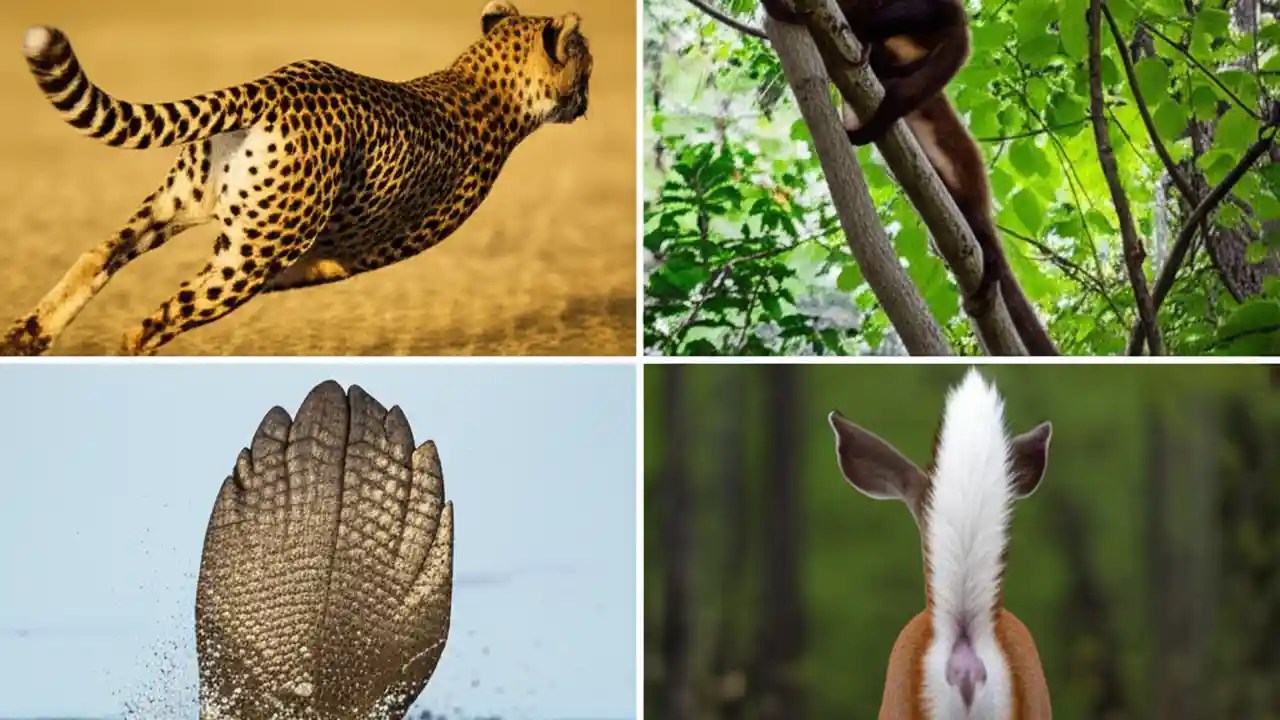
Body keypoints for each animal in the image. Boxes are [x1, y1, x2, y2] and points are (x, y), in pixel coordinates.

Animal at [1, 0, 592, 356]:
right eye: (585, 67)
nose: (585, 100)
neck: (483, 84)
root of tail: (280, 83)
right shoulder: (359, 251)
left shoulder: (312, 254)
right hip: (246, 260)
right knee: (148, 326)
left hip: (179, 207)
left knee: (97, 256)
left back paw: (25, 338)